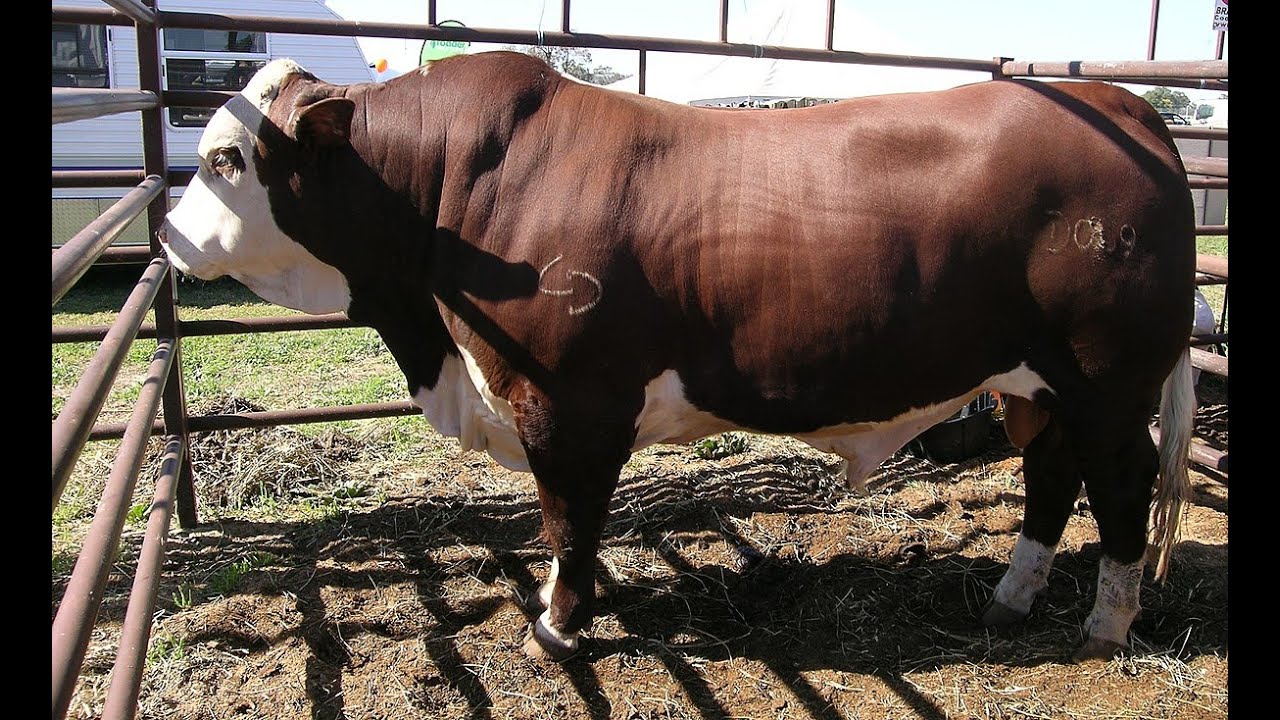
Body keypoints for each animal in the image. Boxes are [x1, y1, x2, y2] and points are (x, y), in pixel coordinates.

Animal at [158, 51, 1196, 664]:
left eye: (224, 161)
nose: (165, 236)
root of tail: (1119, 103)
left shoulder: (567, 405)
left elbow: (569, 520)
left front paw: (557, 625)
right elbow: (573, 523)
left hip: (1107, 380)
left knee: (1120, 484)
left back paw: (1105, 622)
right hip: (1044, 386)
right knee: (1053, 475)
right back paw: (1011, 598)